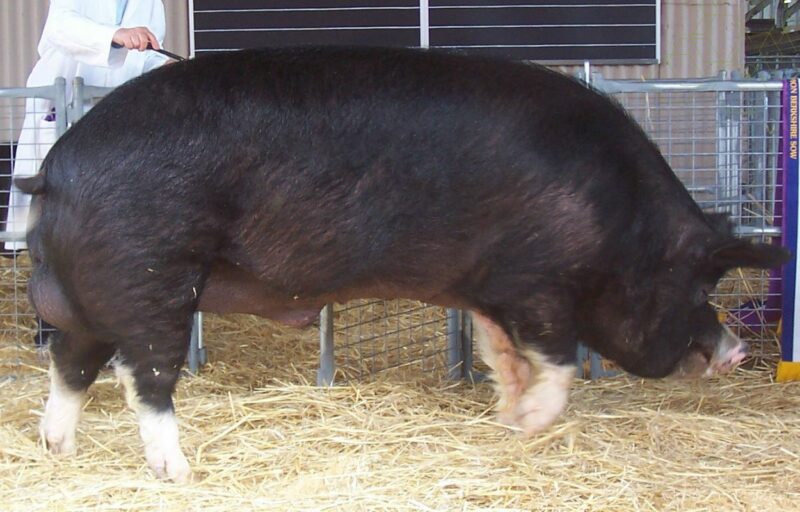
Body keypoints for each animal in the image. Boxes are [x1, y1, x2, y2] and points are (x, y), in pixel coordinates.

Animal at [18, 46, 788, 482]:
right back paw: (179, 474)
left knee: (71, 368)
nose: (737, 350)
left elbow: (500, 350)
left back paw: (58, 452)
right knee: (143, 377)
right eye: (699, 280)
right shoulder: (540, 283)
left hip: (85, 300)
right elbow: (561, 360)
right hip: (152, 276)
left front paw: (507, 415)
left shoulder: (490, 287)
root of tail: (57, 171)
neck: (621, 219)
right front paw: (533, 423)